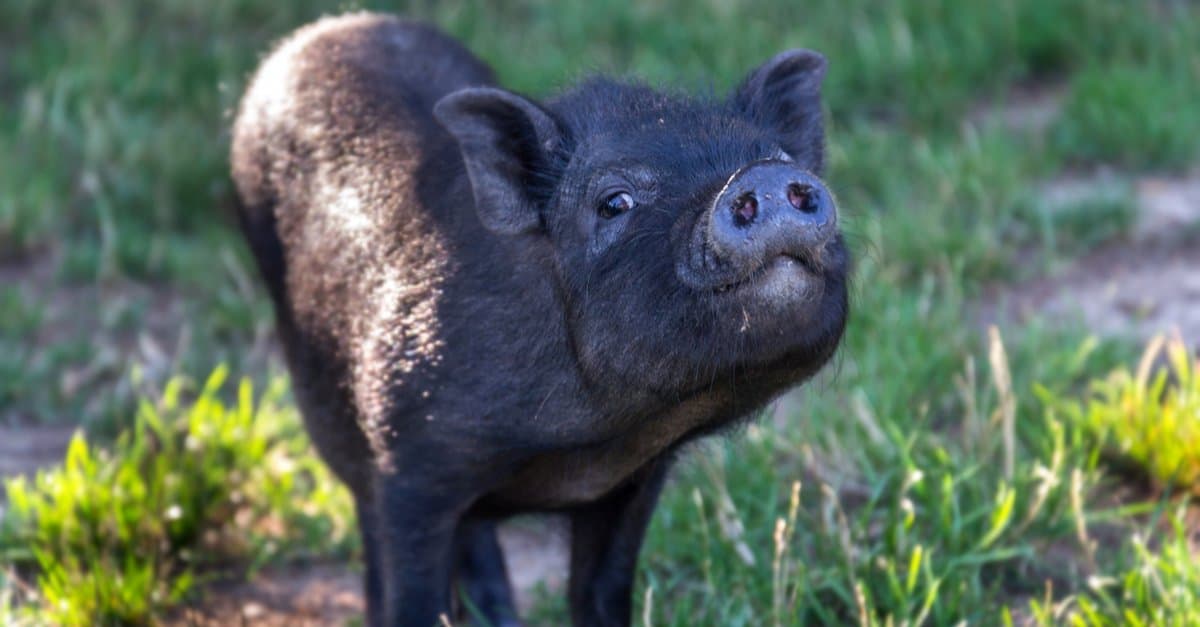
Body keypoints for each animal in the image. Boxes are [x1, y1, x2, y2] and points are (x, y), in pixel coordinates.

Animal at [230, 12, 848, 627]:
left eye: (783, 159)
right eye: (614, 202)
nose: (760, 175)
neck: (583, 442)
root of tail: (322, 31)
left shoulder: (634, 481)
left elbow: (602, 592)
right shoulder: (404, 463)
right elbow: (410, 594)